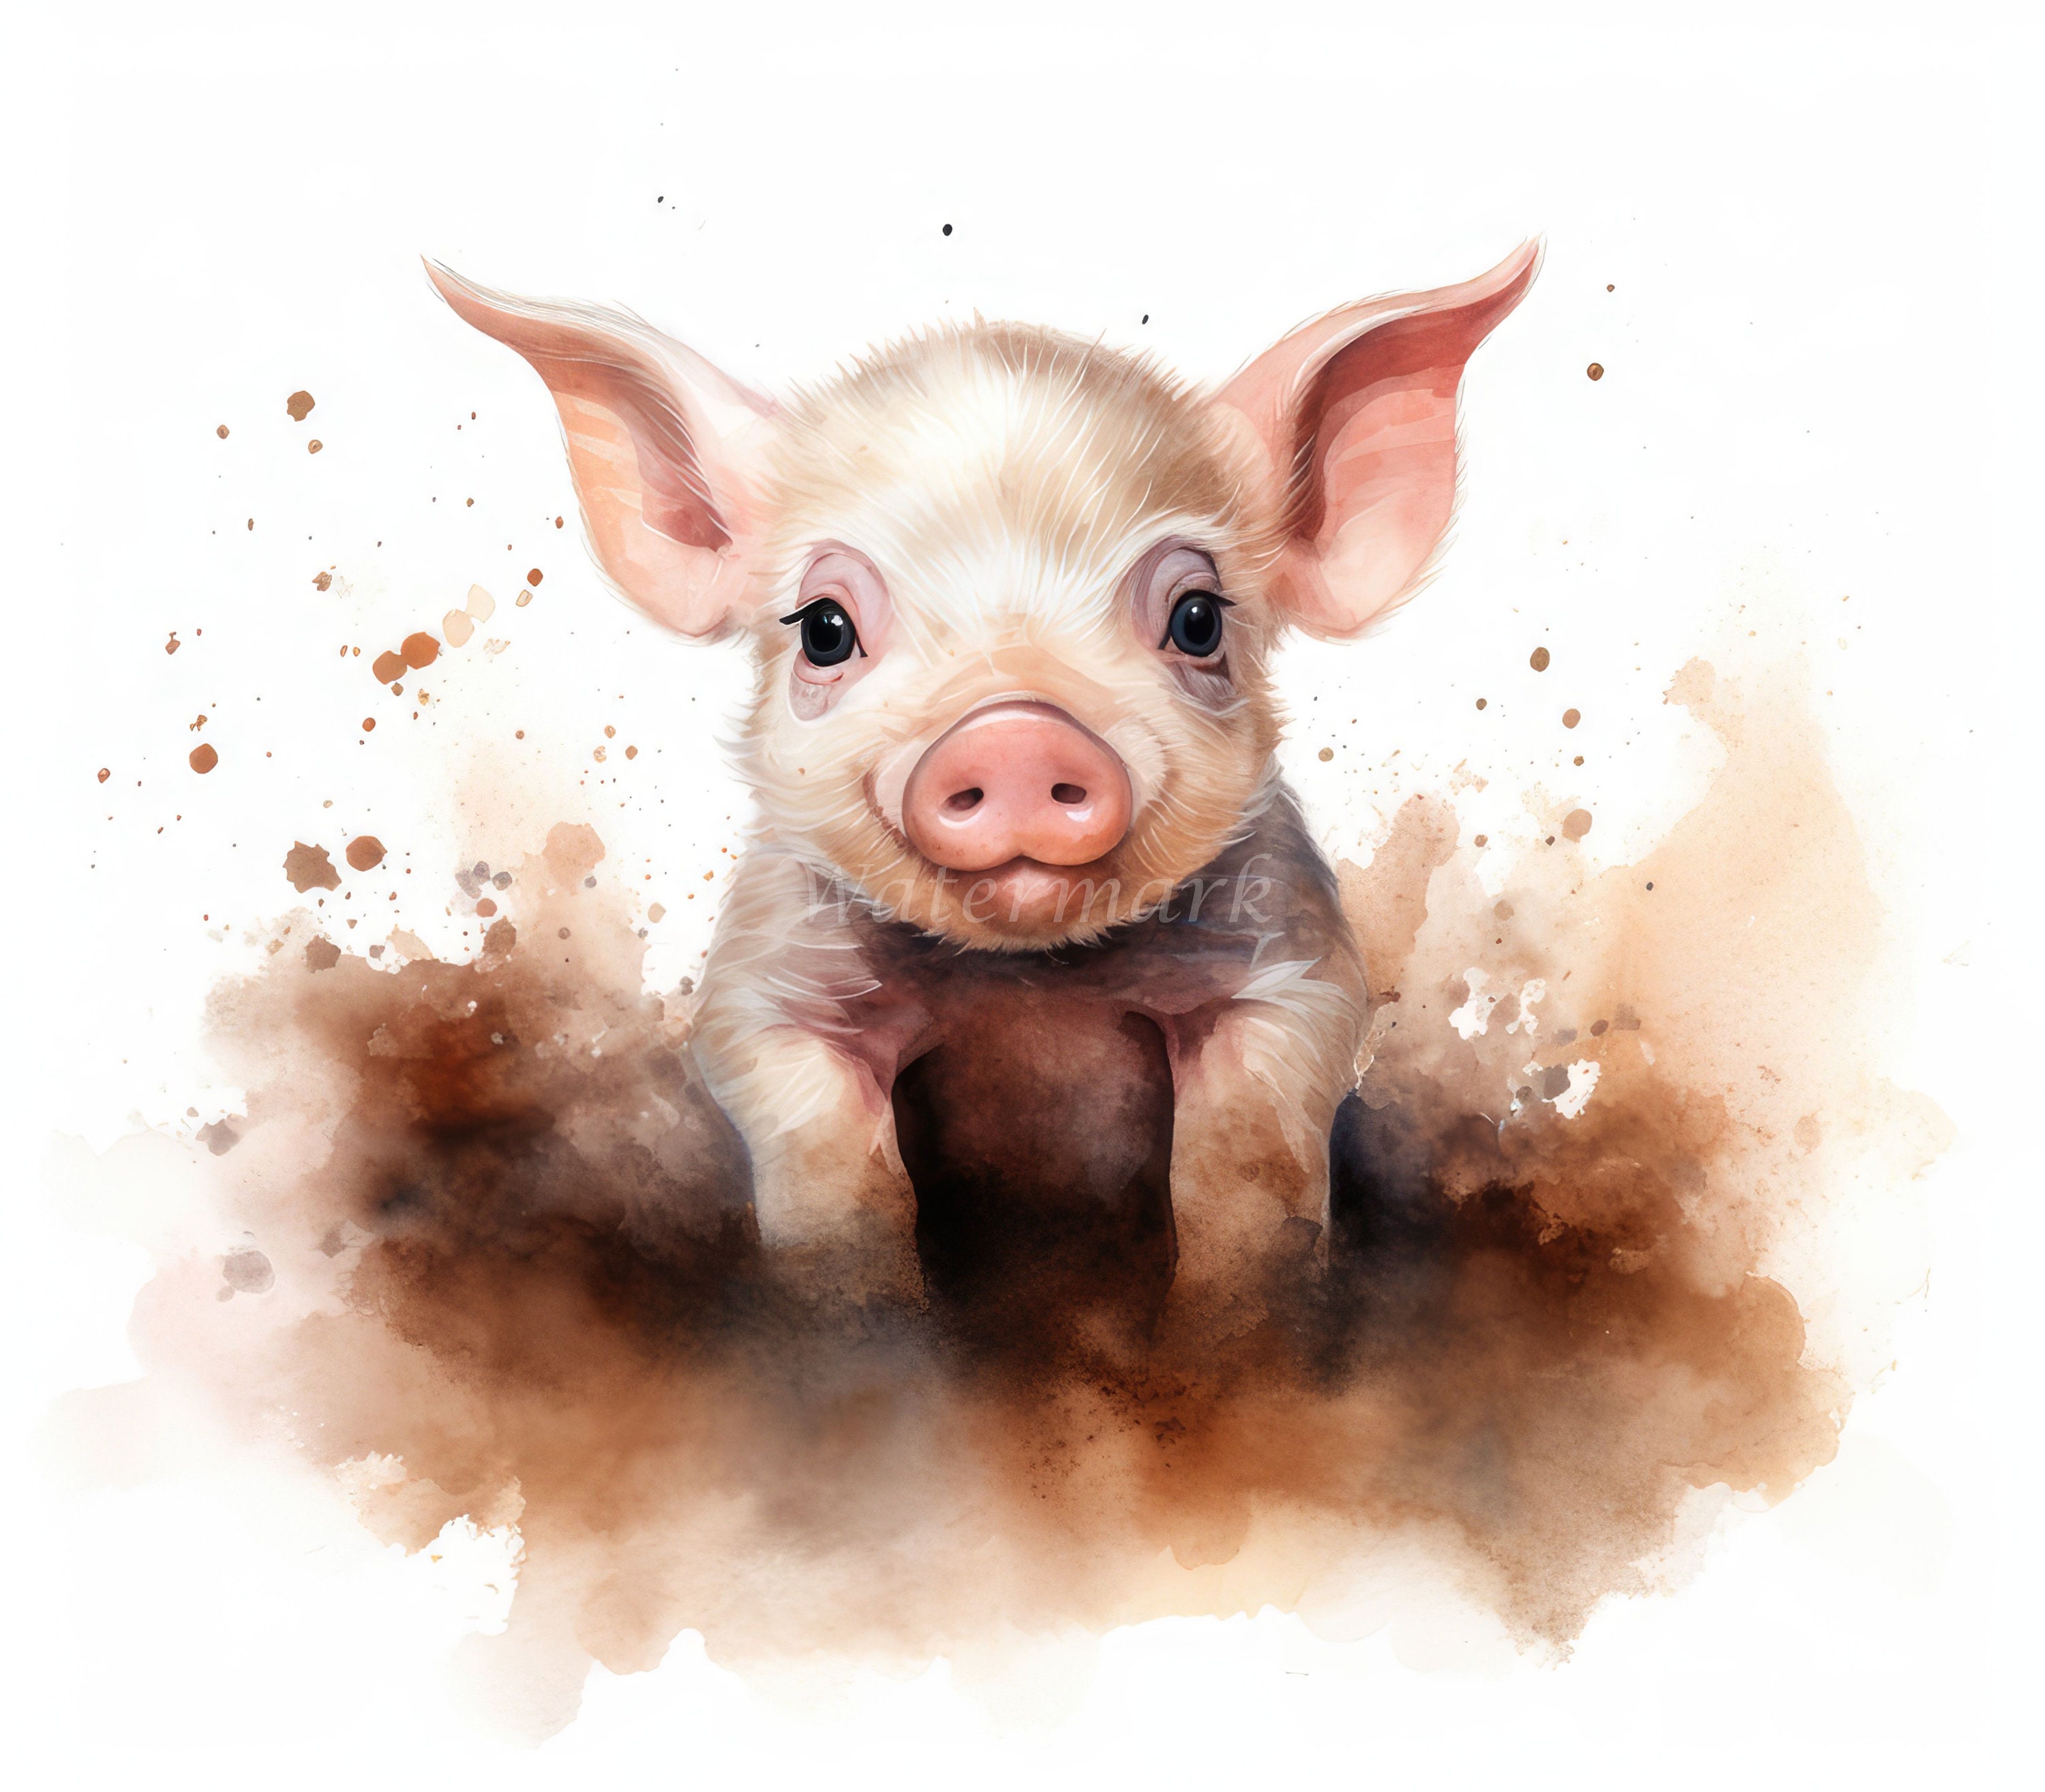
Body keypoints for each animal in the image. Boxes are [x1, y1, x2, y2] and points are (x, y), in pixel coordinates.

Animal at [428, 243, 1538, 1324]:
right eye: (824, 628)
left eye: (1198, 619)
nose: (1014, 738)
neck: (1030, 989)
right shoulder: (771, 984)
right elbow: (831, 1173)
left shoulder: (1290, 964)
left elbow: (1246, 1163)